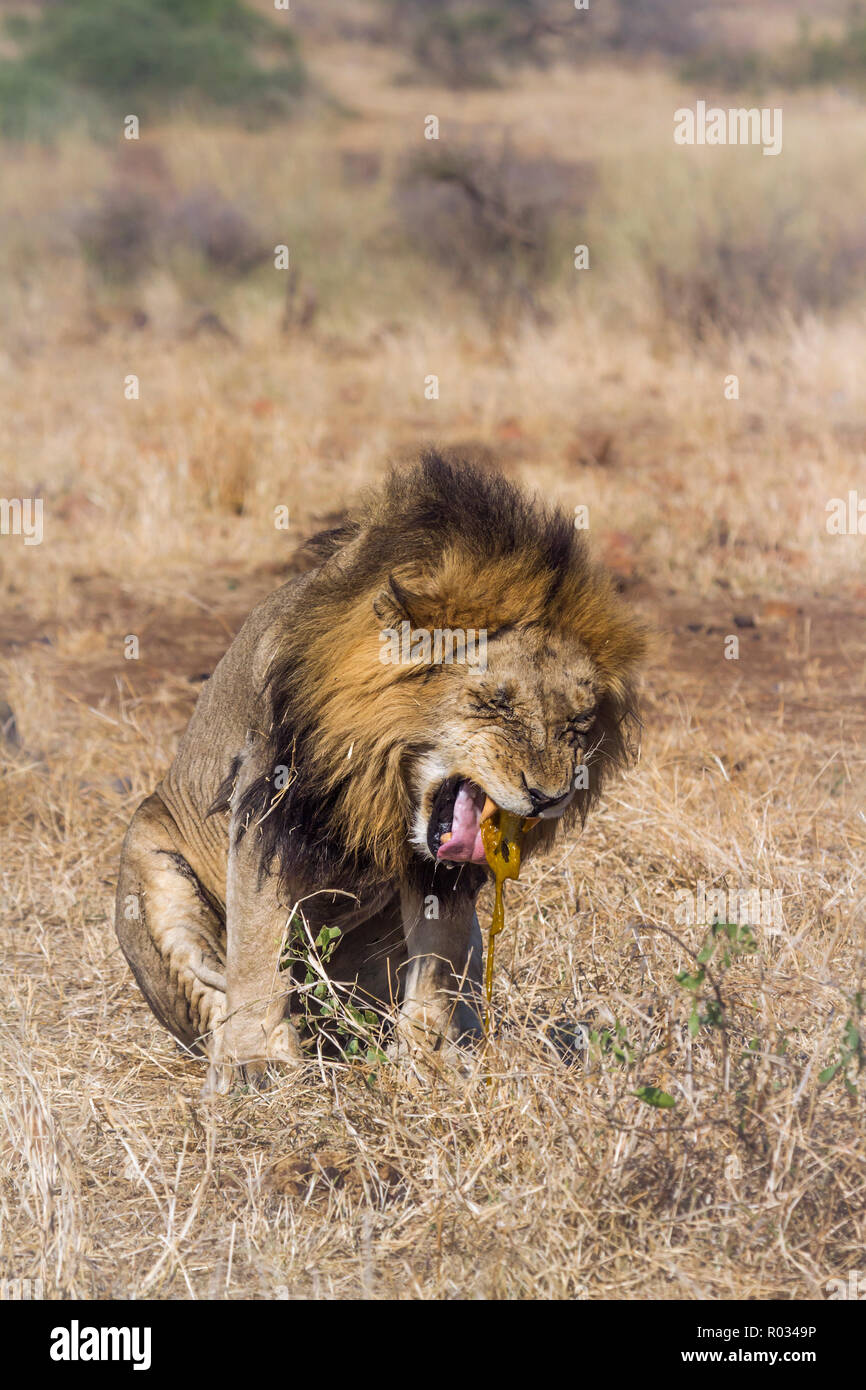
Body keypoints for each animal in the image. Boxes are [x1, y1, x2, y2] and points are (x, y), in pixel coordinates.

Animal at [115, 453, 645, 1092]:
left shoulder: (440, 871)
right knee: (212, 990)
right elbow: (257, 944)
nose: (548, 798)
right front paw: (252, 1065)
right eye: (494, 704)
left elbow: (439, 957)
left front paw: (430, 1062)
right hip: (149, 864)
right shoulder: (267, 806)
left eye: (579, 723)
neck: (387, 776)